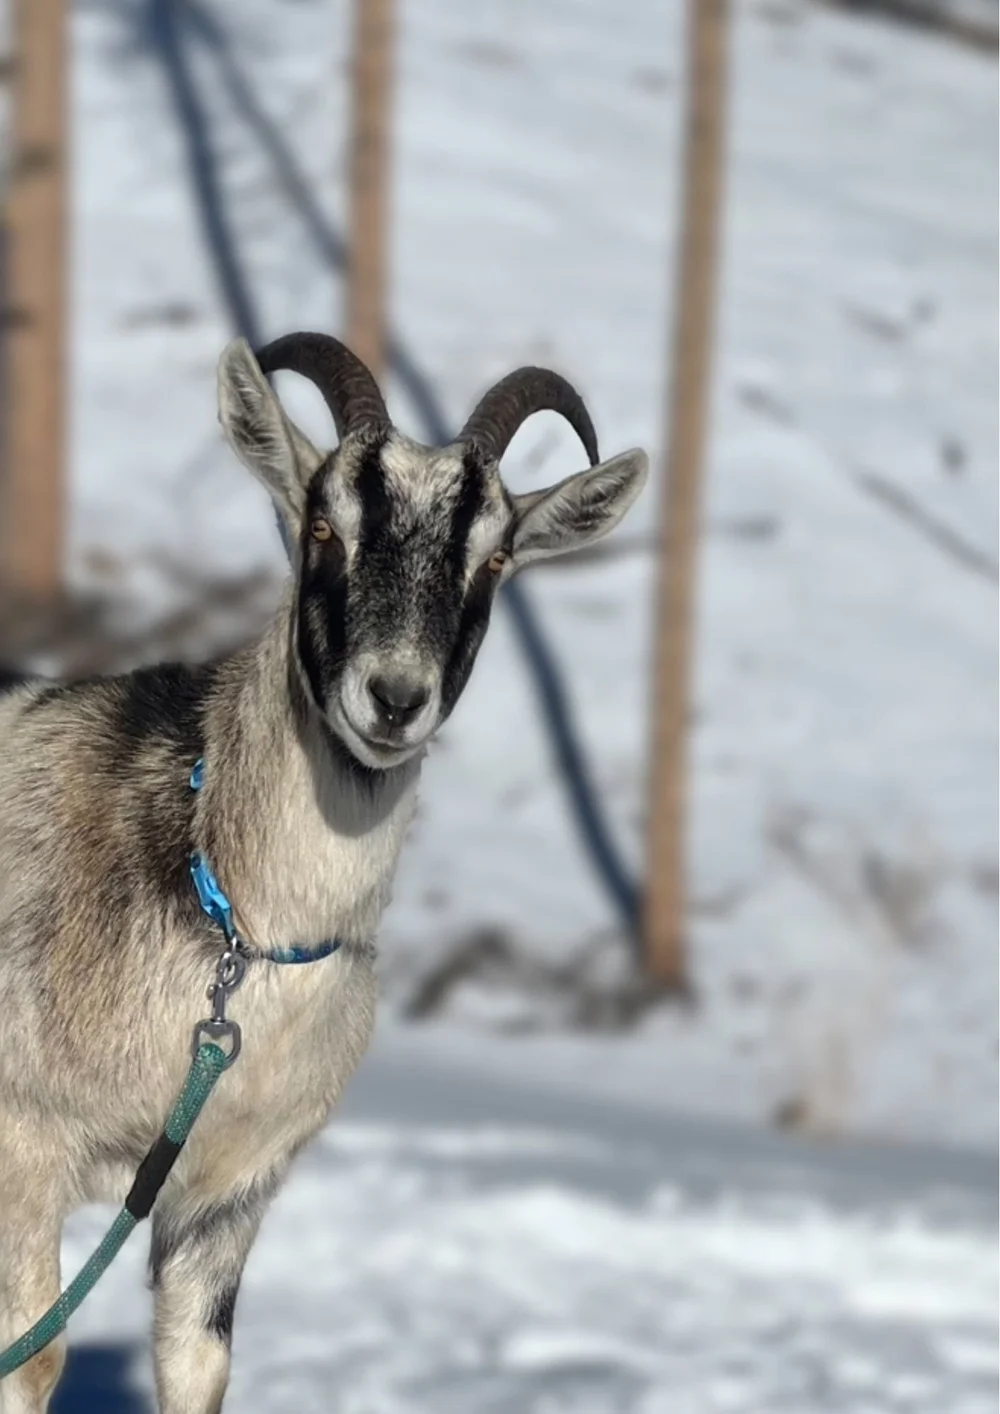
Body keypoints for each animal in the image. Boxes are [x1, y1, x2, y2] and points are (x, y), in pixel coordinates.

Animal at [0, 332, 647, 1414]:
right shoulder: (23, 1151)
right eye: (321, 525)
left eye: (494, 557)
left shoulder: (222, 1197)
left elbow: (198, 1362)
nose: (394, 698)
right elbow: (33, 1356)